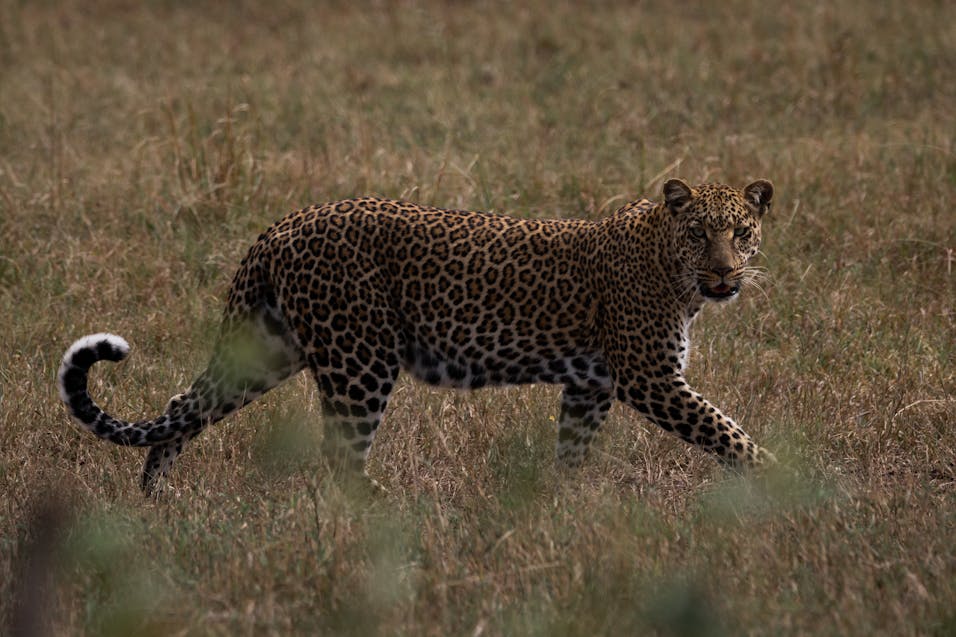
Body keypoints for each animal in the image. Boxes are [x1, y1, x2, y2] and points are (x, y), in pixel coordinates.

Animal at [57, 178, 776, 495]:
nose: (724, 273)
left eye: (740, 233)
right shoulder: (649, 377)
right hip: (359, 358)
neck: (670, 267)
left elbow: (572, 451)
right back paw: (393, 513)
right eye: (699, 234)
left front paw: (561, 506)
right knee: (339, 457)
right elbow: (729, 431)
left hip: (269, 348)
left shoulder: (591, 384)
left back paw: (155, 497)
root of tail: (281, 225)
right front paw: (788, 482)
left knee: (184, 405)